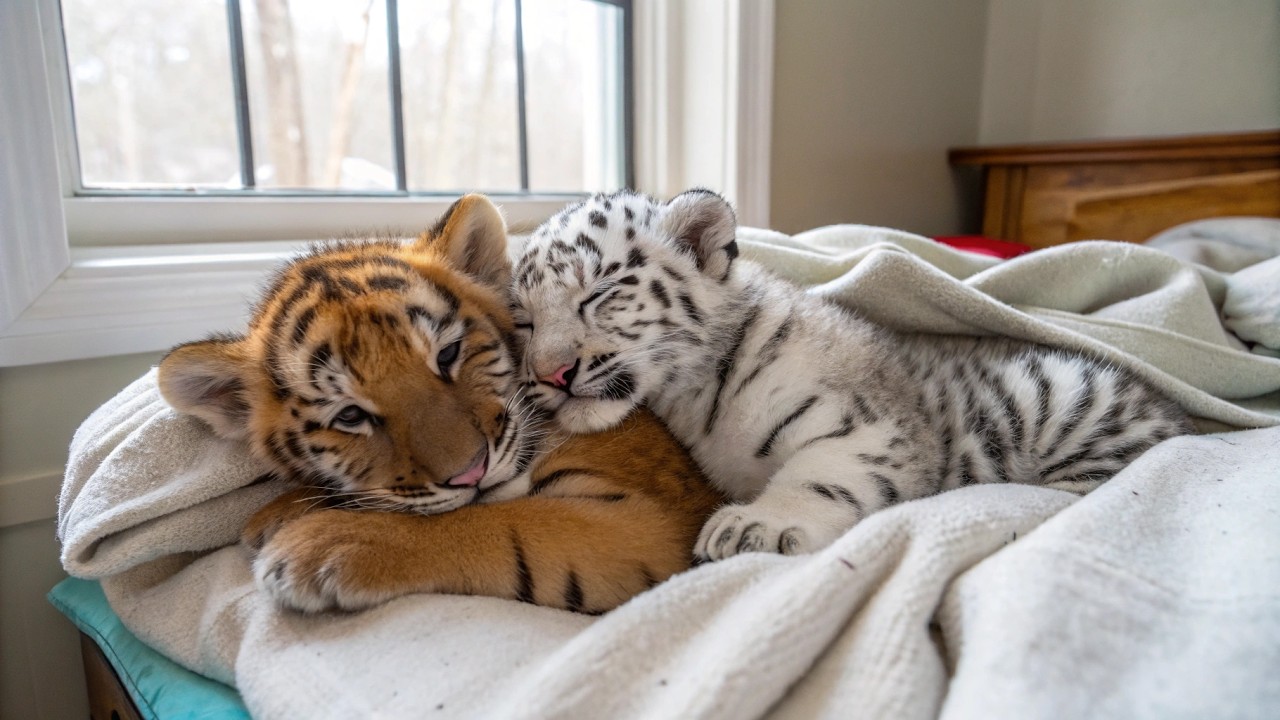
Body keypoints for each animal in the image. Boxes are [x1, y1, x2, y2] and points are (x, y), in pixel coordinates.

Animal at [157, 194, 722, 613]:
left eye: (448, 354)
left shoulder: (647, 520)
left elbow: (496, 521)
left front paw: (325, 544)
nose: (472, 472)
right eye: (350, 416)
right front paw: (276, 514)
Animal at [510, 189, 1193, 561]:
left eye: (599, 293)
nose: (553, 373)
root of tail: (1178, 416)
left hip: (1062, 399)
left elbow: (820, 476)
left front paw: (753, 526)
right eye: (525, 321)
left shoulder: (871, 430)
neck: (692, 398)